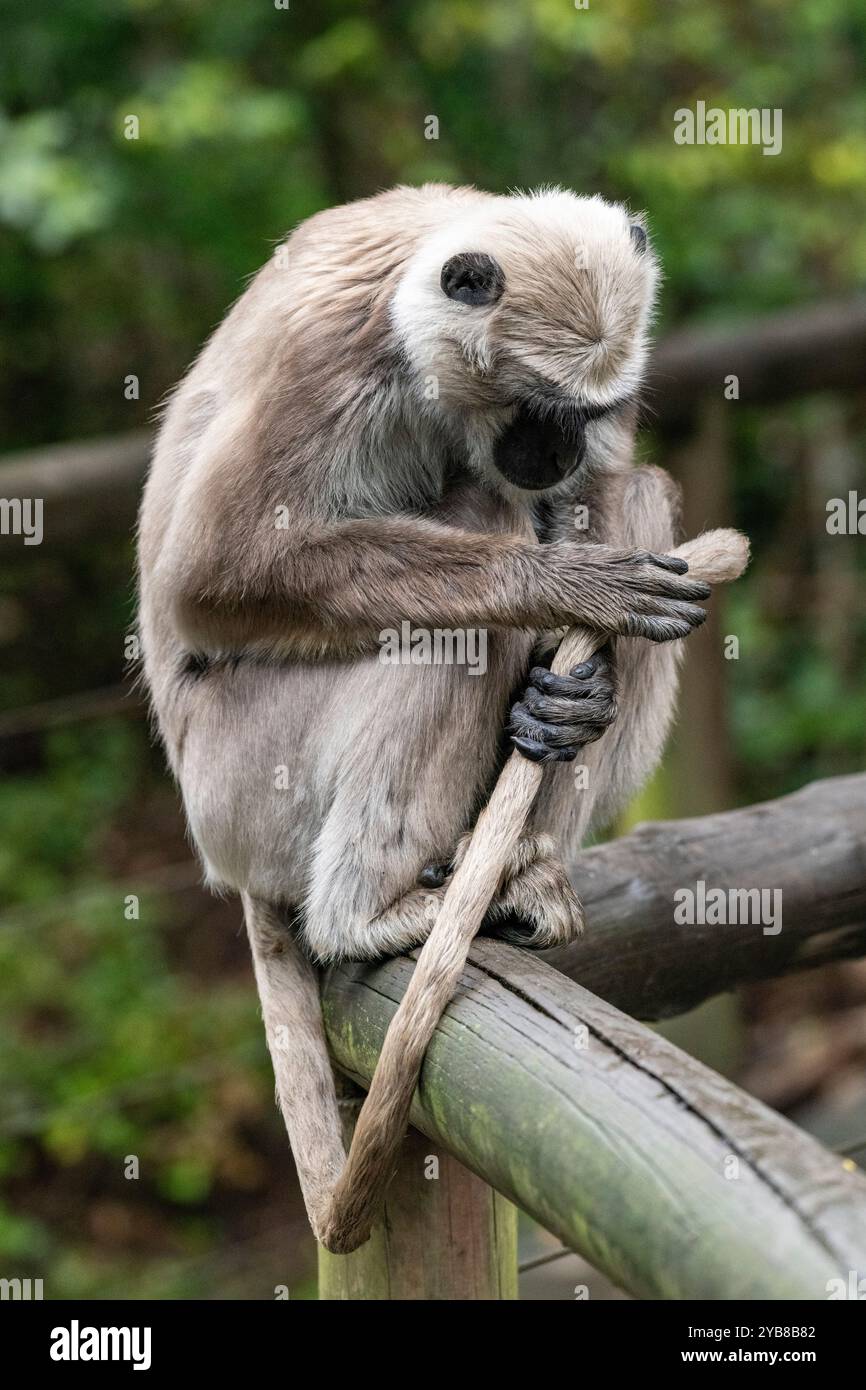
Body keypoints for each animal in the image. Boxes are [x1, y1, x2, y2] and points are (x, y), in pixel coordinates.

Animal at [137, 184, 716, 1251]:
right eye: (535, 409)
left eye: (587, 412)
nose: (556, 449)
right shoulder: (330, 355)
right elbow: (209, 578)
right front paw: (555, 584)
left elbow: (601, 491)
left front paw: (570, 697)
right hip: (241, 780)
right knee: (472, 568)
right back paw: (366, 912)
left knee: (633, 488)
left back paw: (523, 861)